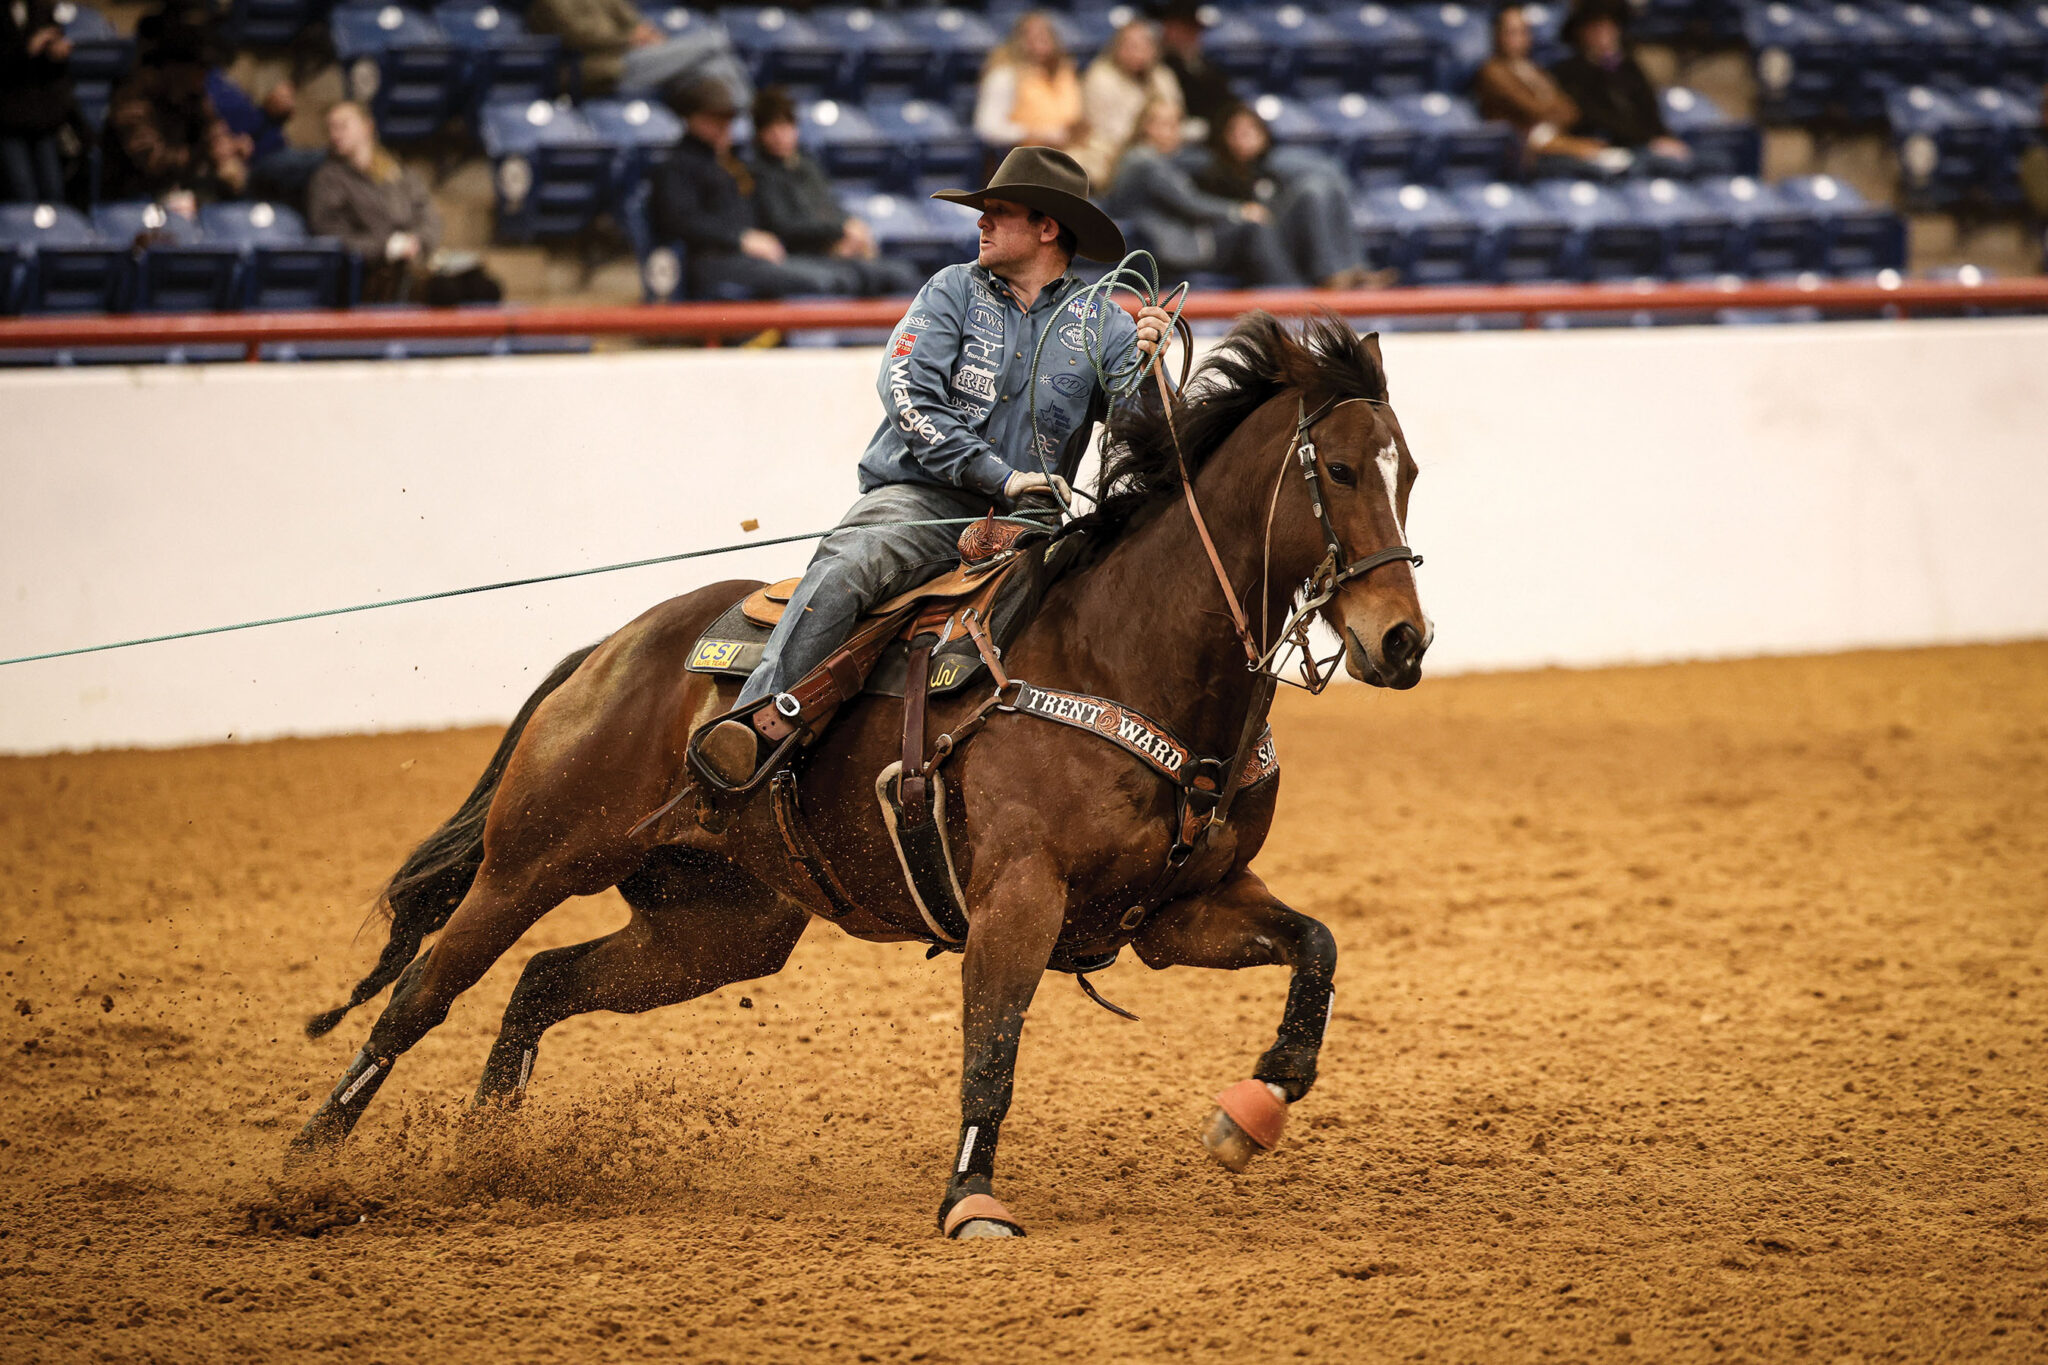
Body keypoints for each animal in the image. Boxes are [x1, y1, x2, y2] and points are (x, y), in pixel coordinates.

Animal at [291, 310, 1431, 1239]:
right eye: (1335, 472)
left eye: (1408, 473)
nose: (1403, 641)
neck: (1121, 651)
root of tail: (610, 650)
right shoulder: (1019, 894)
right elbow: (992, 1047)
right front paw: (971, 1199)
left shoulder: (1179, 907)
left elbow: (1317, 947)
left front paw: (1260, 1103)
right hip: (532, 861)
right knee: (420, 997)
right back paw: (305, 1170)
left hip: (717, 927)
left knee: (540, 982)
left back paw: (487, 1155)